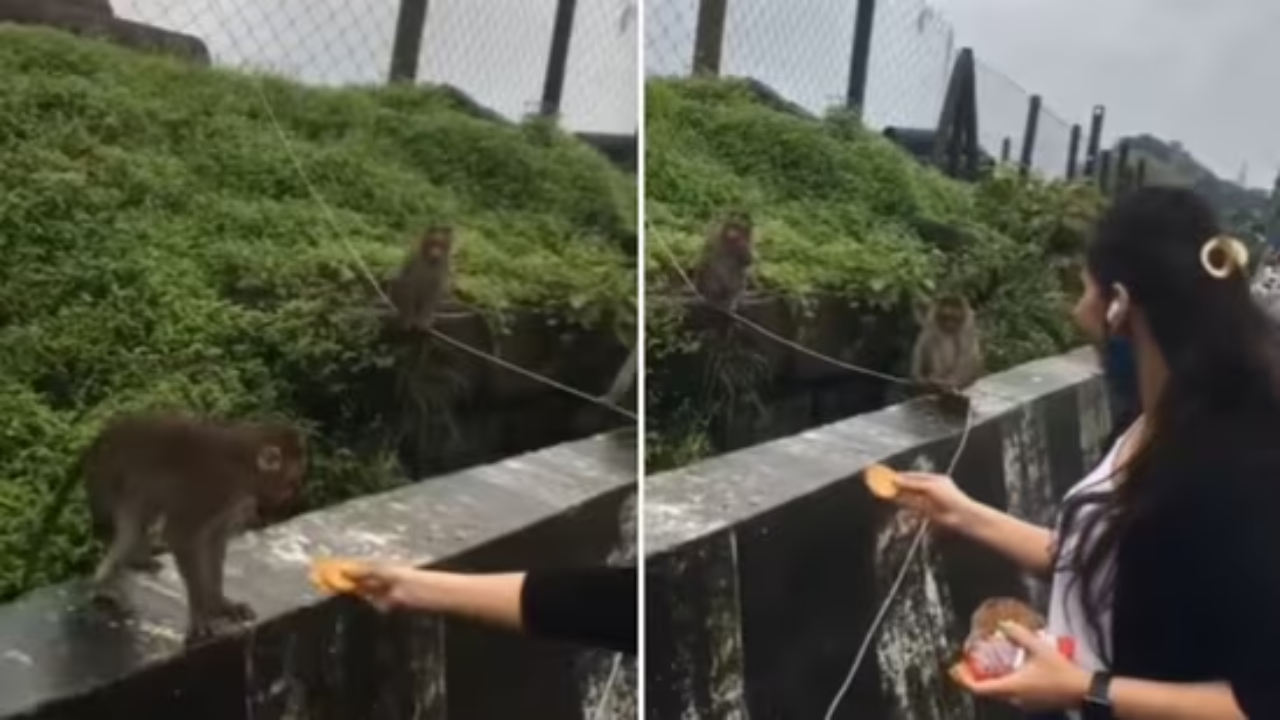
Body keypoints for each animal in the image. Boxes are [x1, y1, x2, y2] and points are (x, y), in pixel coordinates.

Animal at [24, 413, 307, 645]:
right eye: (291, 483)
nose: (289, 498)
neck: (241, 468)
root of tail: (102, 437)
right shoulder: (212, 490)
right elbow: (182, 537)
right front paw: (200, 616)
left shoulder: (230, 503)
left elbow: (215, 541)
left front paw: (219, 604)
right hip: (105, 476)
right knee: (124, 526)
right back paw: (106, 582)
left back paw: (135, 560)